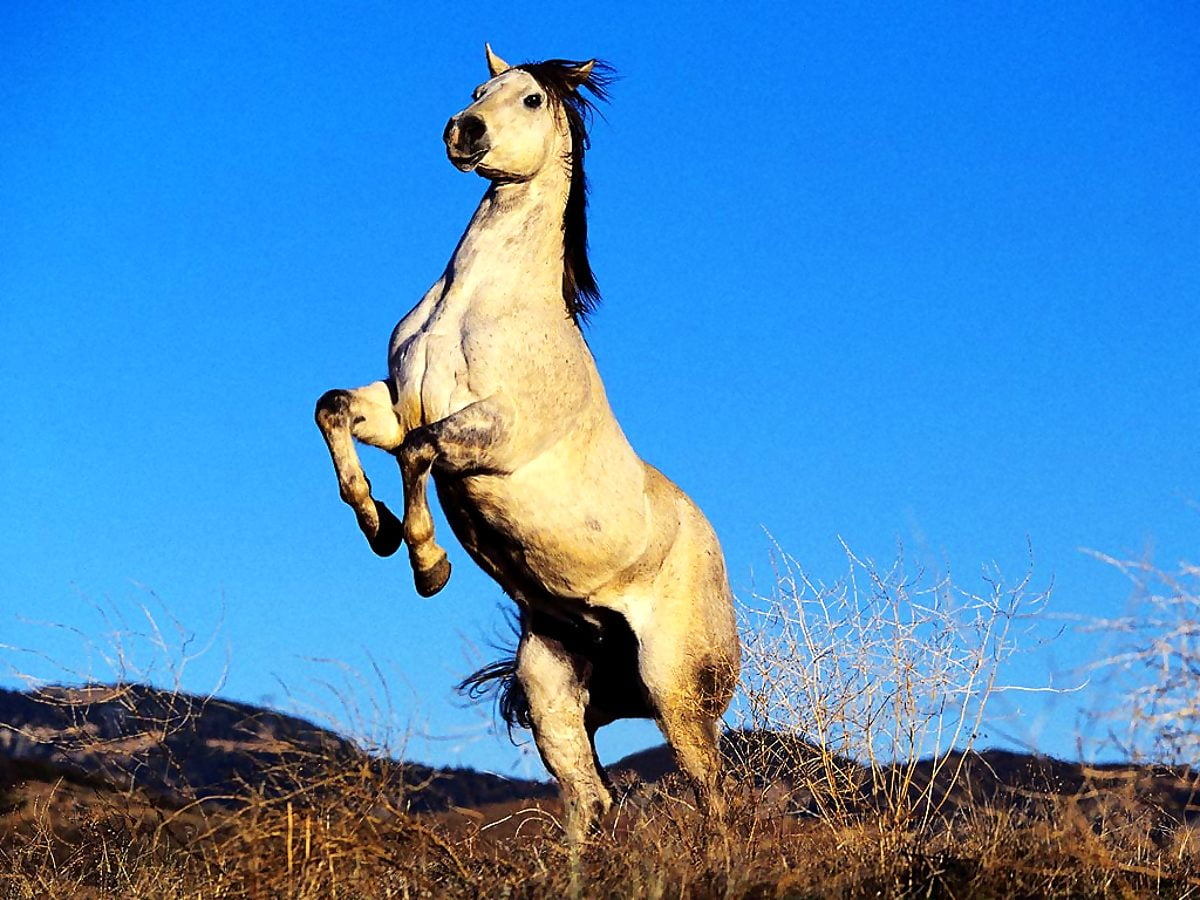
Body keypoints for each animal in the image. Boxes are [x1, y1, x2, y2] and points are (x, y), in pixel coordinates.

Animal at [314, 44, 740, 842]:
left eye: (533, 99)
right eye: (480, 87)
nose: (464, 131)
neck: (477, 303)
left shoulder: (495, 433)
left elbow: (420, 451)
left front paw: (427, 564)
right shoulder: (393, 403)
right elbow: (335, 411)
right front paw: (376, 526)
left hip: (677, 694)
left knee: (717, 800)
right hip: (552, 688)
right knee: (591, 800)